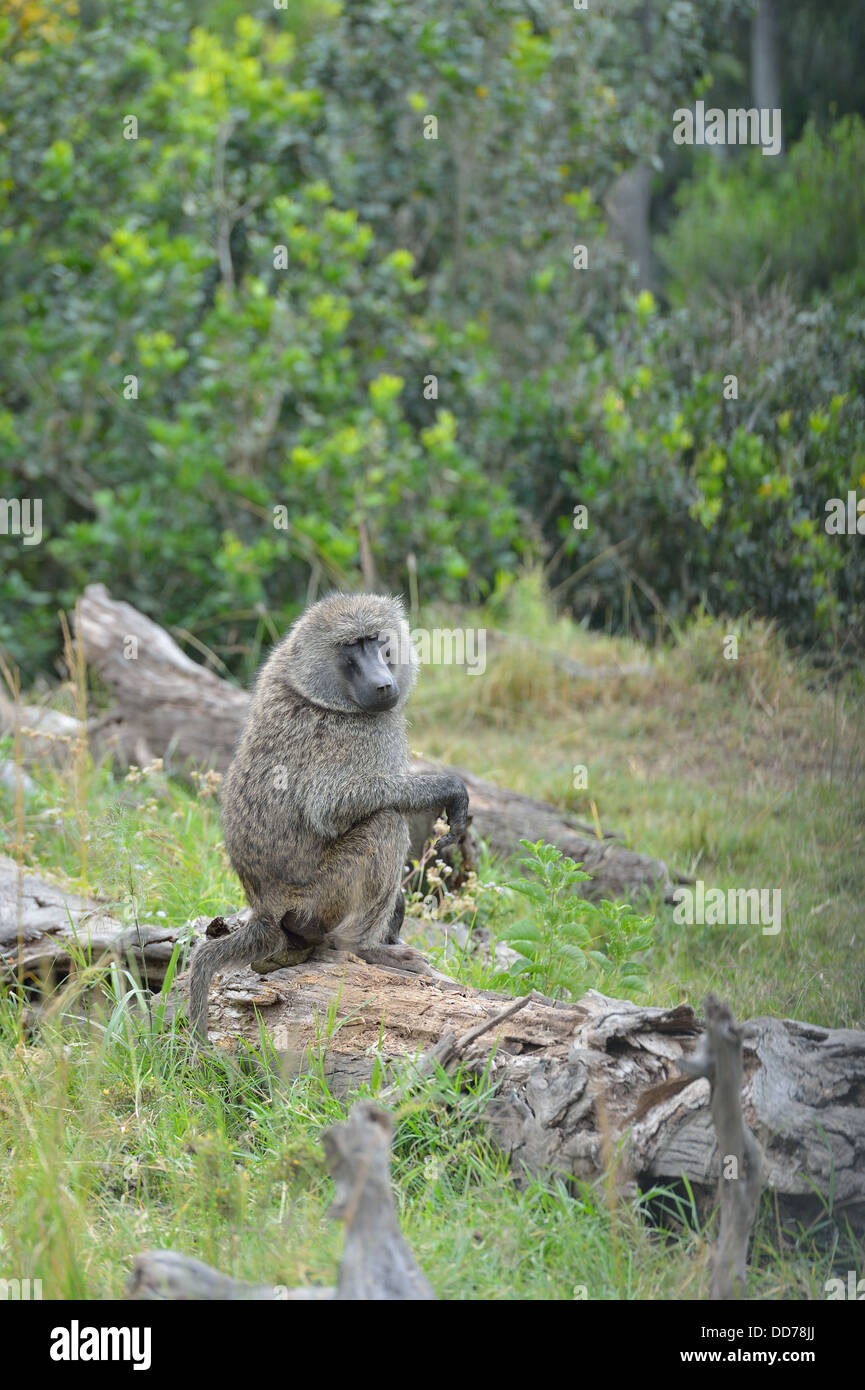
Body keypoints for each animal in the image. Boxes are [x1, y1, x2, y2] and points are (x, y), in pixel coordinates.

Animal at [187, 591, 469, 1044]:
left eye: (376, 640)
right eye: (350, 647)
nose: (383, 683)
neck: (308, 684)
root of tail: (264, 907)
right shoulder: (365, 732)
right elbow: (331, 806)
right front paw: (449, 789)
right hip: (318, 902)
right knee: (385, 823)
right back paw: (364, 948)